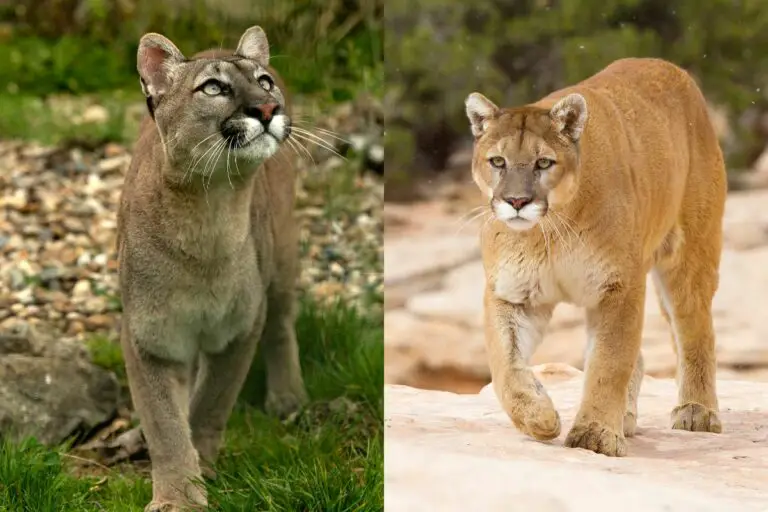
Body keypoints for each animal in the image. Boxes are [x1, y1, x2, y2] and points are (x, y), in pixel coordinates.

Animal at [464, 57, 726, 457]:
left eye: (543, 163)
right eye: (497, 161)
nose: (517, 201)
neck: (549, 232)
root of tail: (670, 67)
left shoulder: (619, 286)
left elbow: (609, 362)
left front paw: (595, 436)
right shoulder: (511, 294)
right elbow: (505, 365)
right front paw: (539, 418)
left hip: (690, 254)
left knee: (696, 330)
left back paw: (697, 411)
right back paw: (627, 417)